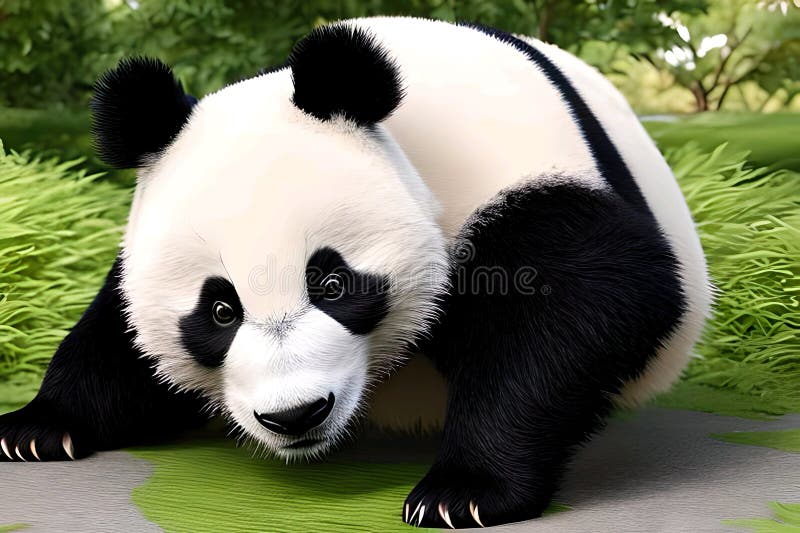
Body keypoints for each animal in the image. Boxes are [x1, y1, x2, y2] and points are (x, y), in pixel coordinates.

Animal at [0, 16, 711, 529]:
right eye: (220, 310)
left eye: (332, 283)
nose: (294, 416)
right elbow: (116, 330)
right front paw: (39, 427)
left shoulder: (515, 167)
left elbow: (587, 299)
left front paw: (465, 491)